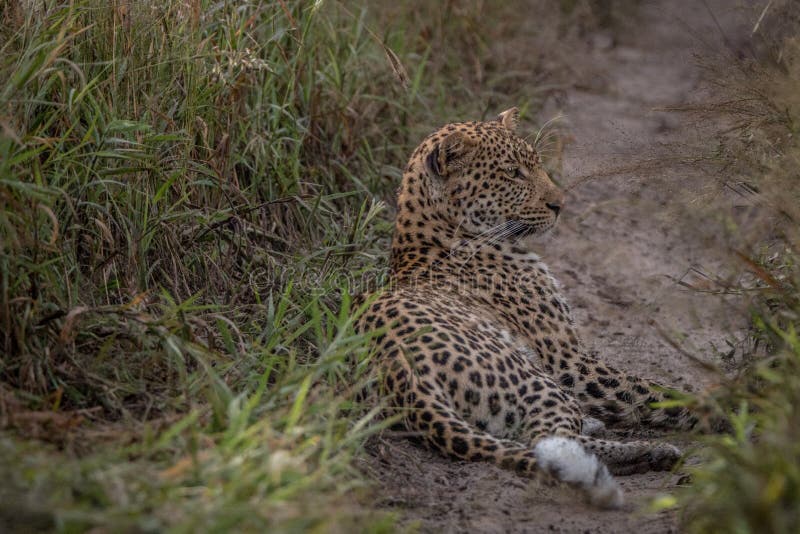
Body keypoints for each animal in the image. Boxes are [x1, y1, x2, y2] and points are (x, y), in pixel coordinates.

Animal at [356, 108, 702, 508]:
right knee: (549, 441)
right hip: (533, 376)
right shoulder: (570, 361)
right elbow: (656, 392)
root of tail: (401, 375)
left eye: (535, 165)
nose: (560, 204)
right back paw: (651, 452)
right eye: (512, 173)